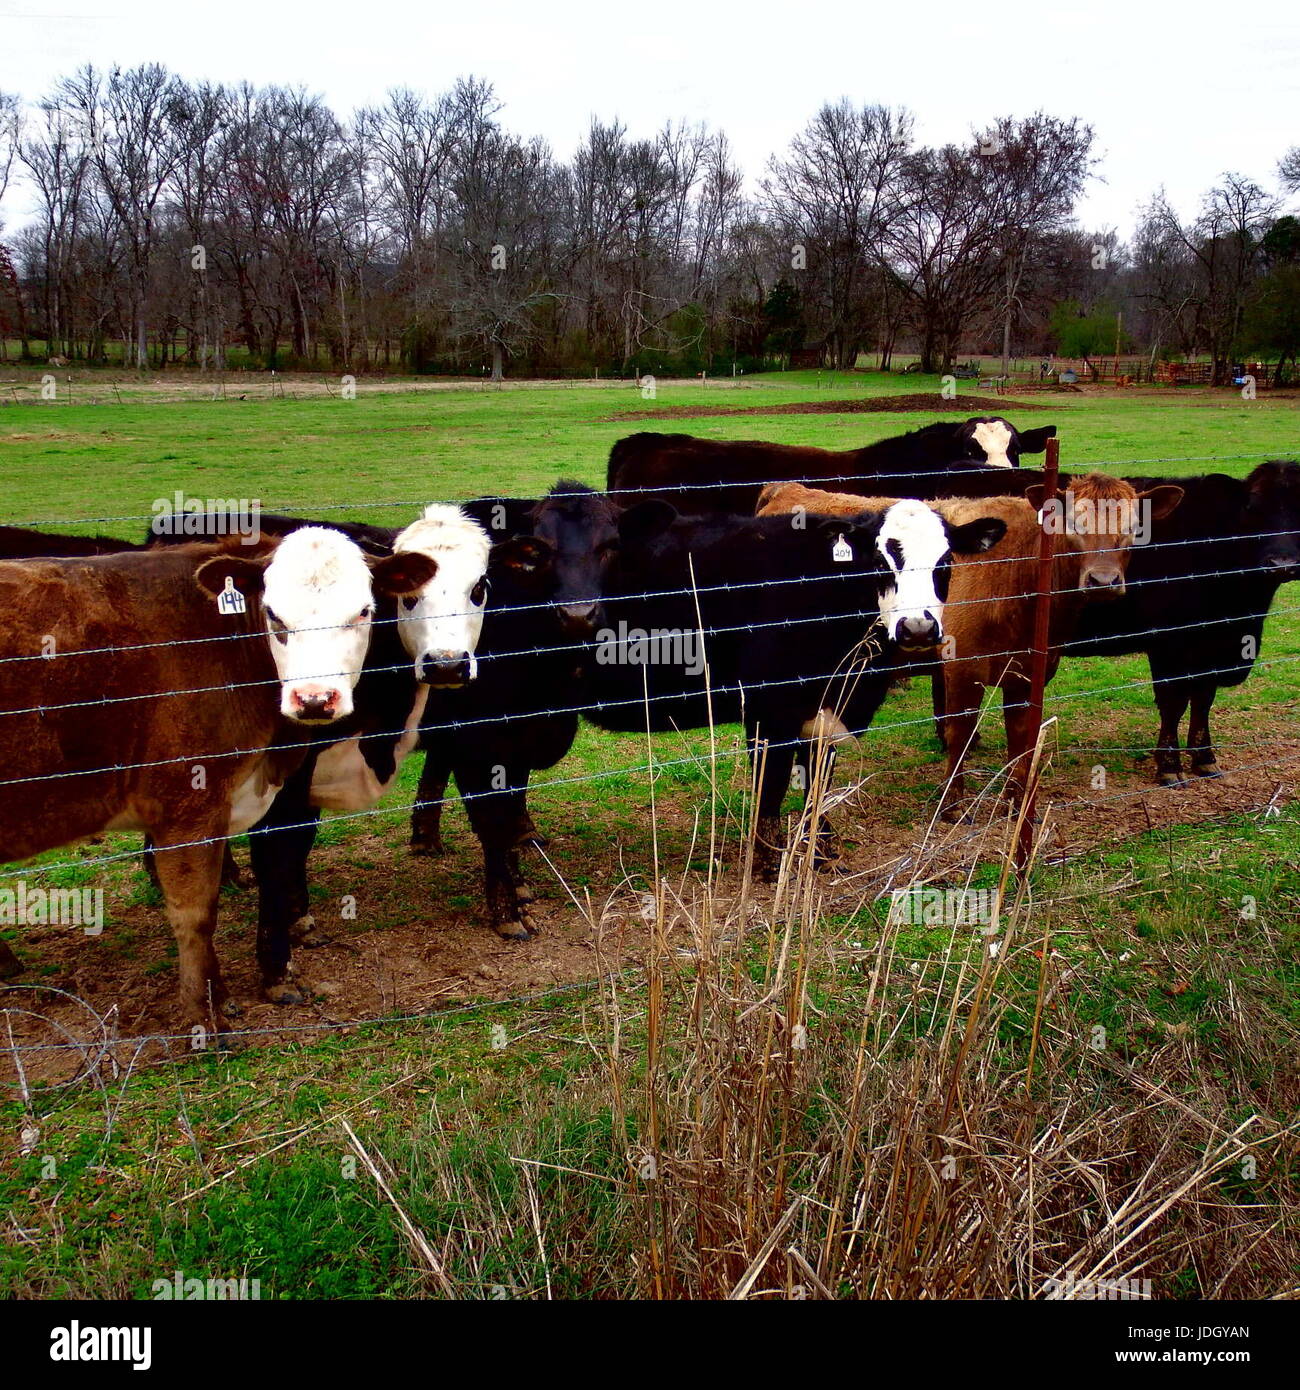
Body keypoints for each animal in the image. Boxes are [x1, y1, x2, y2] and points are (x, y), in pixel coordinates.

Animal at [0, 530, 436, 1032]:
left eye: (364, 610)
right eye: (273, 613)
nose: (313, 699)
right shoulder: (188, 805)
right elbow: (196, 913)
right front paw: (204, 1016)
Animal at [584, 498, 1007, 877]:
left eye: (945, 561)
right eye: (878, 561)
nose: (917, 628)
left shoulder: (827, 712)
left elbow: (818, 783)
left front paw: (821, 851)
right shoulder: (770, 711)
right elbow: (770, 787)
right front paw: (770, 863)